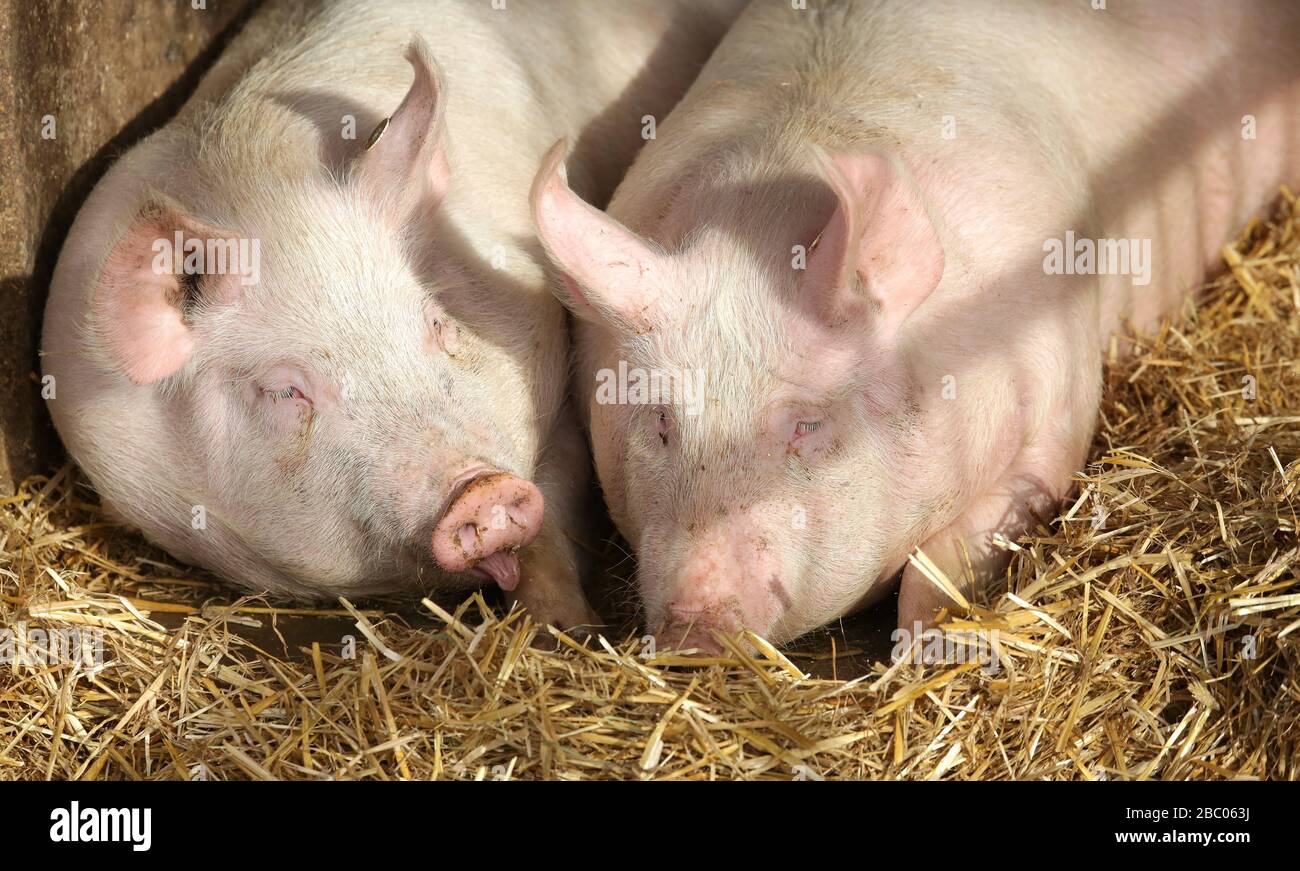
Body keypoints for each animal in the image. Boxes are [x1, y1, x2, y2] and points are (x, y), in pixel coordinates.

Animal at [531, 0, 1300, 650]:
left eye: (809, 424)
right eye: (660, 420)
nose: (693, 628)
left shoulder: (1060, 409)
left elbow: (947, 556)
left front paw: (926, 647)